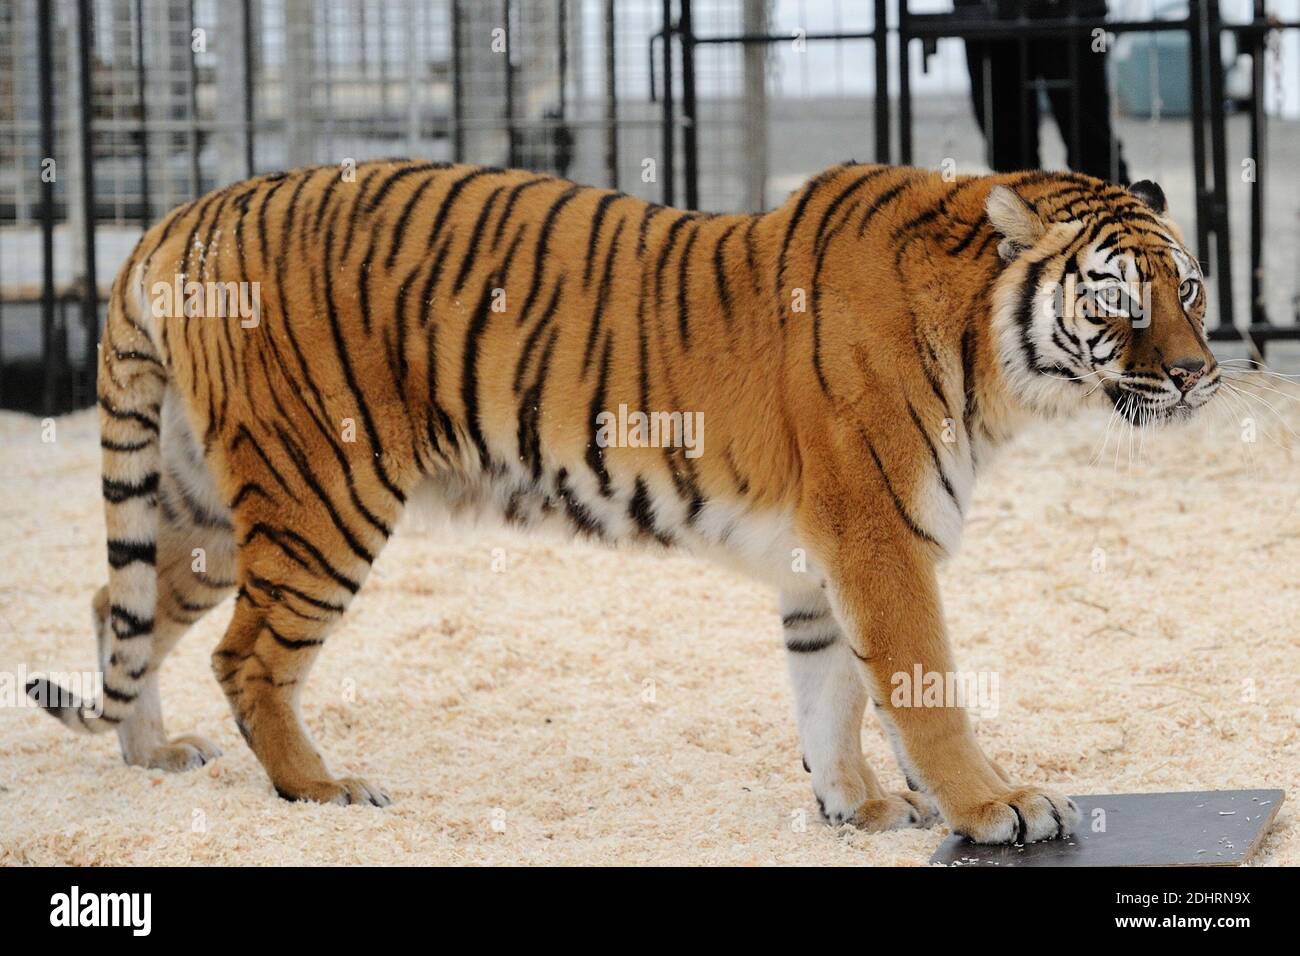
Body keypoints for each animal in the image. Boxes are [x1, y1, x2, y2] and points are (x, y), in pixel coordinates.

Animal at [28, 159, 1219, 844]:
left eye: (1192, 287)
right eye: (1119, 298)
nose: (1201, 373)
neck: (990, 356)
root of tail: (179, 215)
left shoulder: (822, 559)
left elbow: (827, 696)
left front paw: (859, 807)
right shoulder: (880, 538)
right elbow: (923, 691)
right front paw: (997, 806)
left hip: (210, 505)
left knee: (116, 604)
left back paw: (149, 755)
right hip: (323, 491)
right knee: (247, 657)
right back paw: (321, 791)